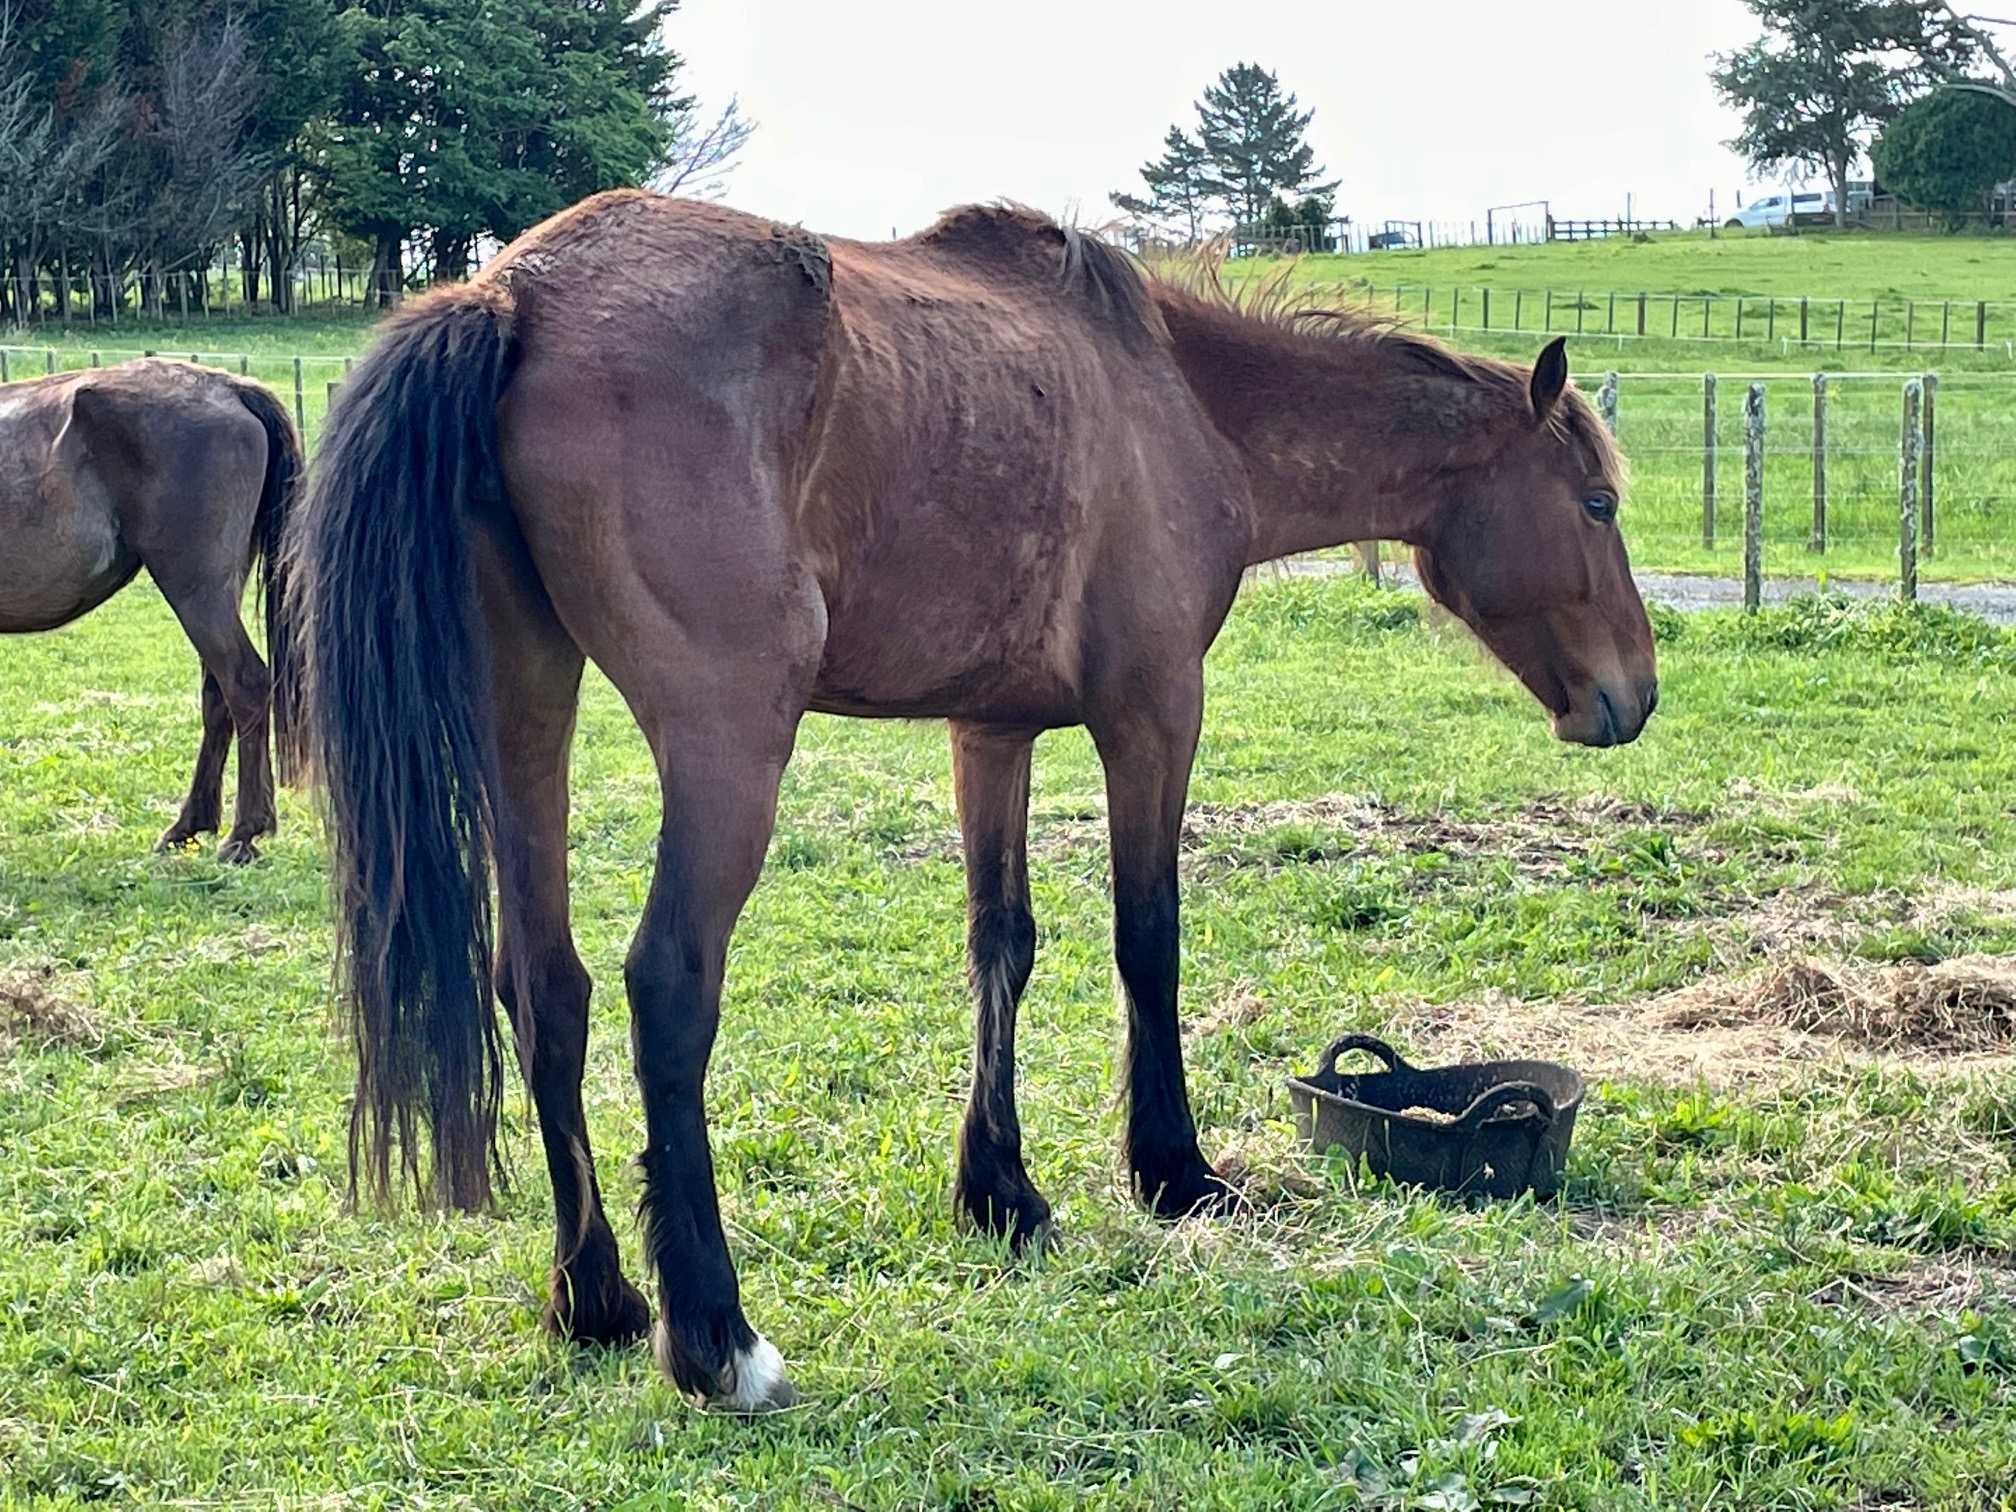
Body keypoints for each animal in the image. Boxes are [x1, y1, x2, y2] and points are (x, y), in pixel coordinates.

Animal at [1, 358, 302, 863]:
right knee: (217, 696)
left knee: (246, 685)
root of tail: (230, 388)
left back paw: (242, 833)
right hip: (215, 594)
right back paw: (188, 824)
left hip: (196, 591)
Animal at [288, 192, 1656, 1411]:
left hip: (530, 703)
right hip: (727, 739)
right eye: (1596, 504)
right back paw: (716, 1336)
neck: (1180, 399)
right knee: (665, 986)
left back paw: (599, 1299)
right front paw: (1173, 1169)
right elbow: (1145, 940)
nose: (1632, 695)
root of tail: (511, 294)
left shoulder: (991, 732)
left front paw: (1000, 1190)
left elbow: (1003, 944)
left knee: (546, 987)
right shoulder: (1153, 715)